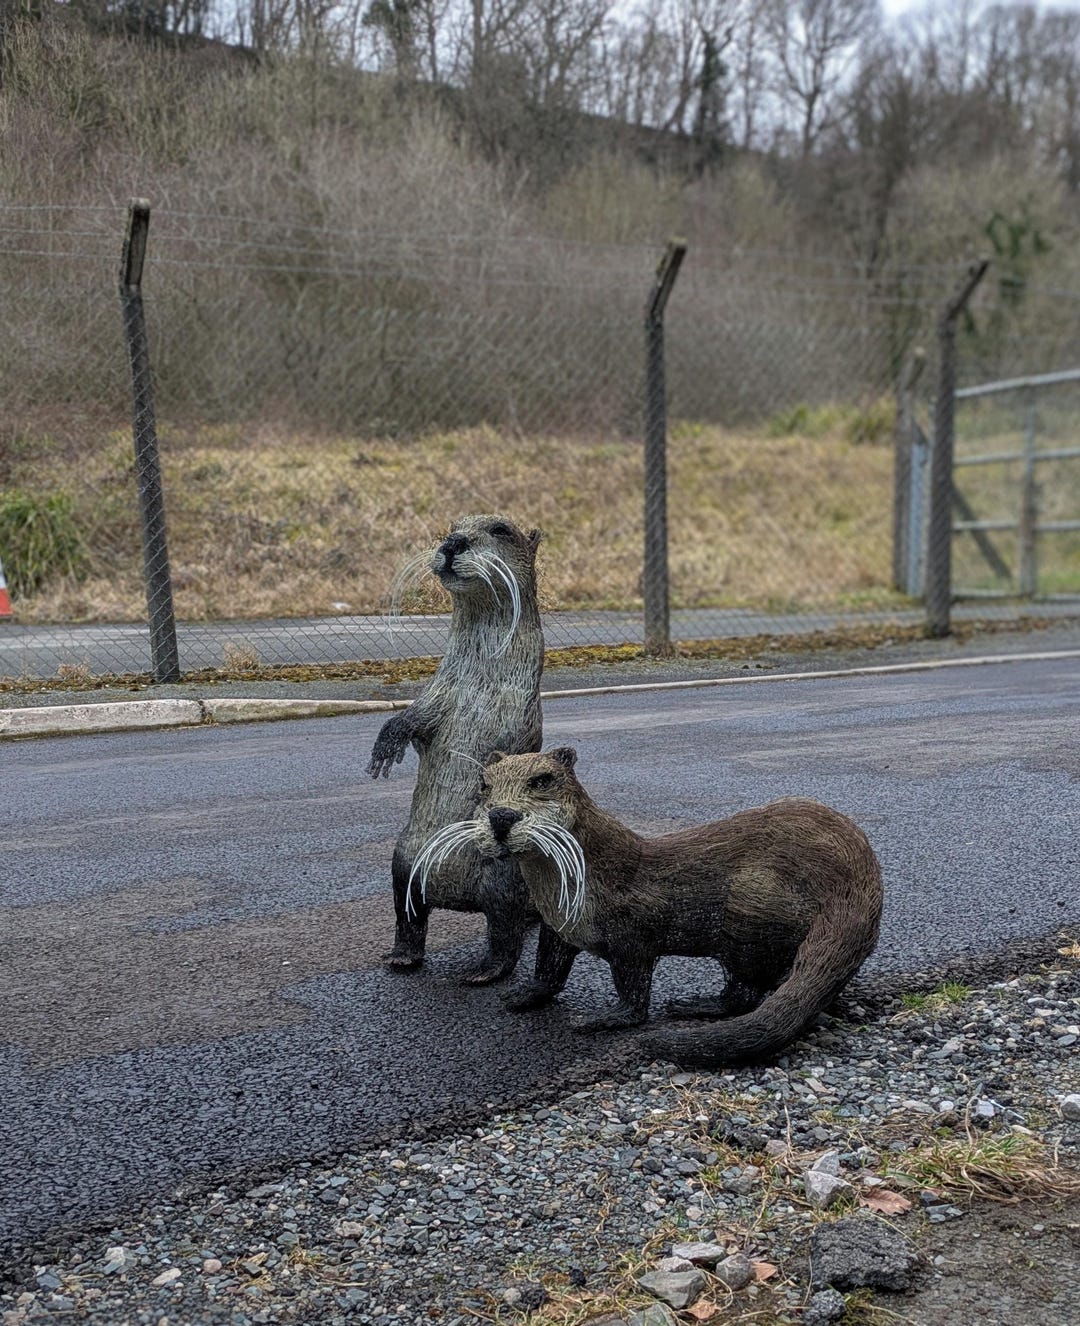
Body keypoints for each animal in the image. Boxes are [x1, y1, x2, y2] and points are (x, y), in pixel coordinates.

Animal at [368, 515, 544, 984]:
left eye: (500, 529)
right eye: (452, 525)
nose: (453, 543)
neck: (478, 685)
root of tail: (454, 893)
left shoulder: (518, 711)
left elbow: (508, 754)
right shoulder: (439, 694)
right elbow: (414, 720)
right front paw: (386, 745)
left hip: (501, 878)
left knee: (505, 933)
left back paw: (484, 972)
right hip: (403, 863)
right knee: (408, 913)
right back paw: (402, 957)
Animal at [413, 747, 883, 1065]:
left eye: (542, 780)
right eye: (483, 785)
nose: (502, 816)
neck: (581, 881)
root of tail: (860, 878)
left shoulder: (631, 933)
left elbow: (635, 994)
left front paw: (606, 1019)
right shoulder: (559, 925)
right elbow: (549, 966)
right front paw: (527, 993)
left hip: (749, 908)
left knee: (746, 991)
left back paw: (694, 1006)